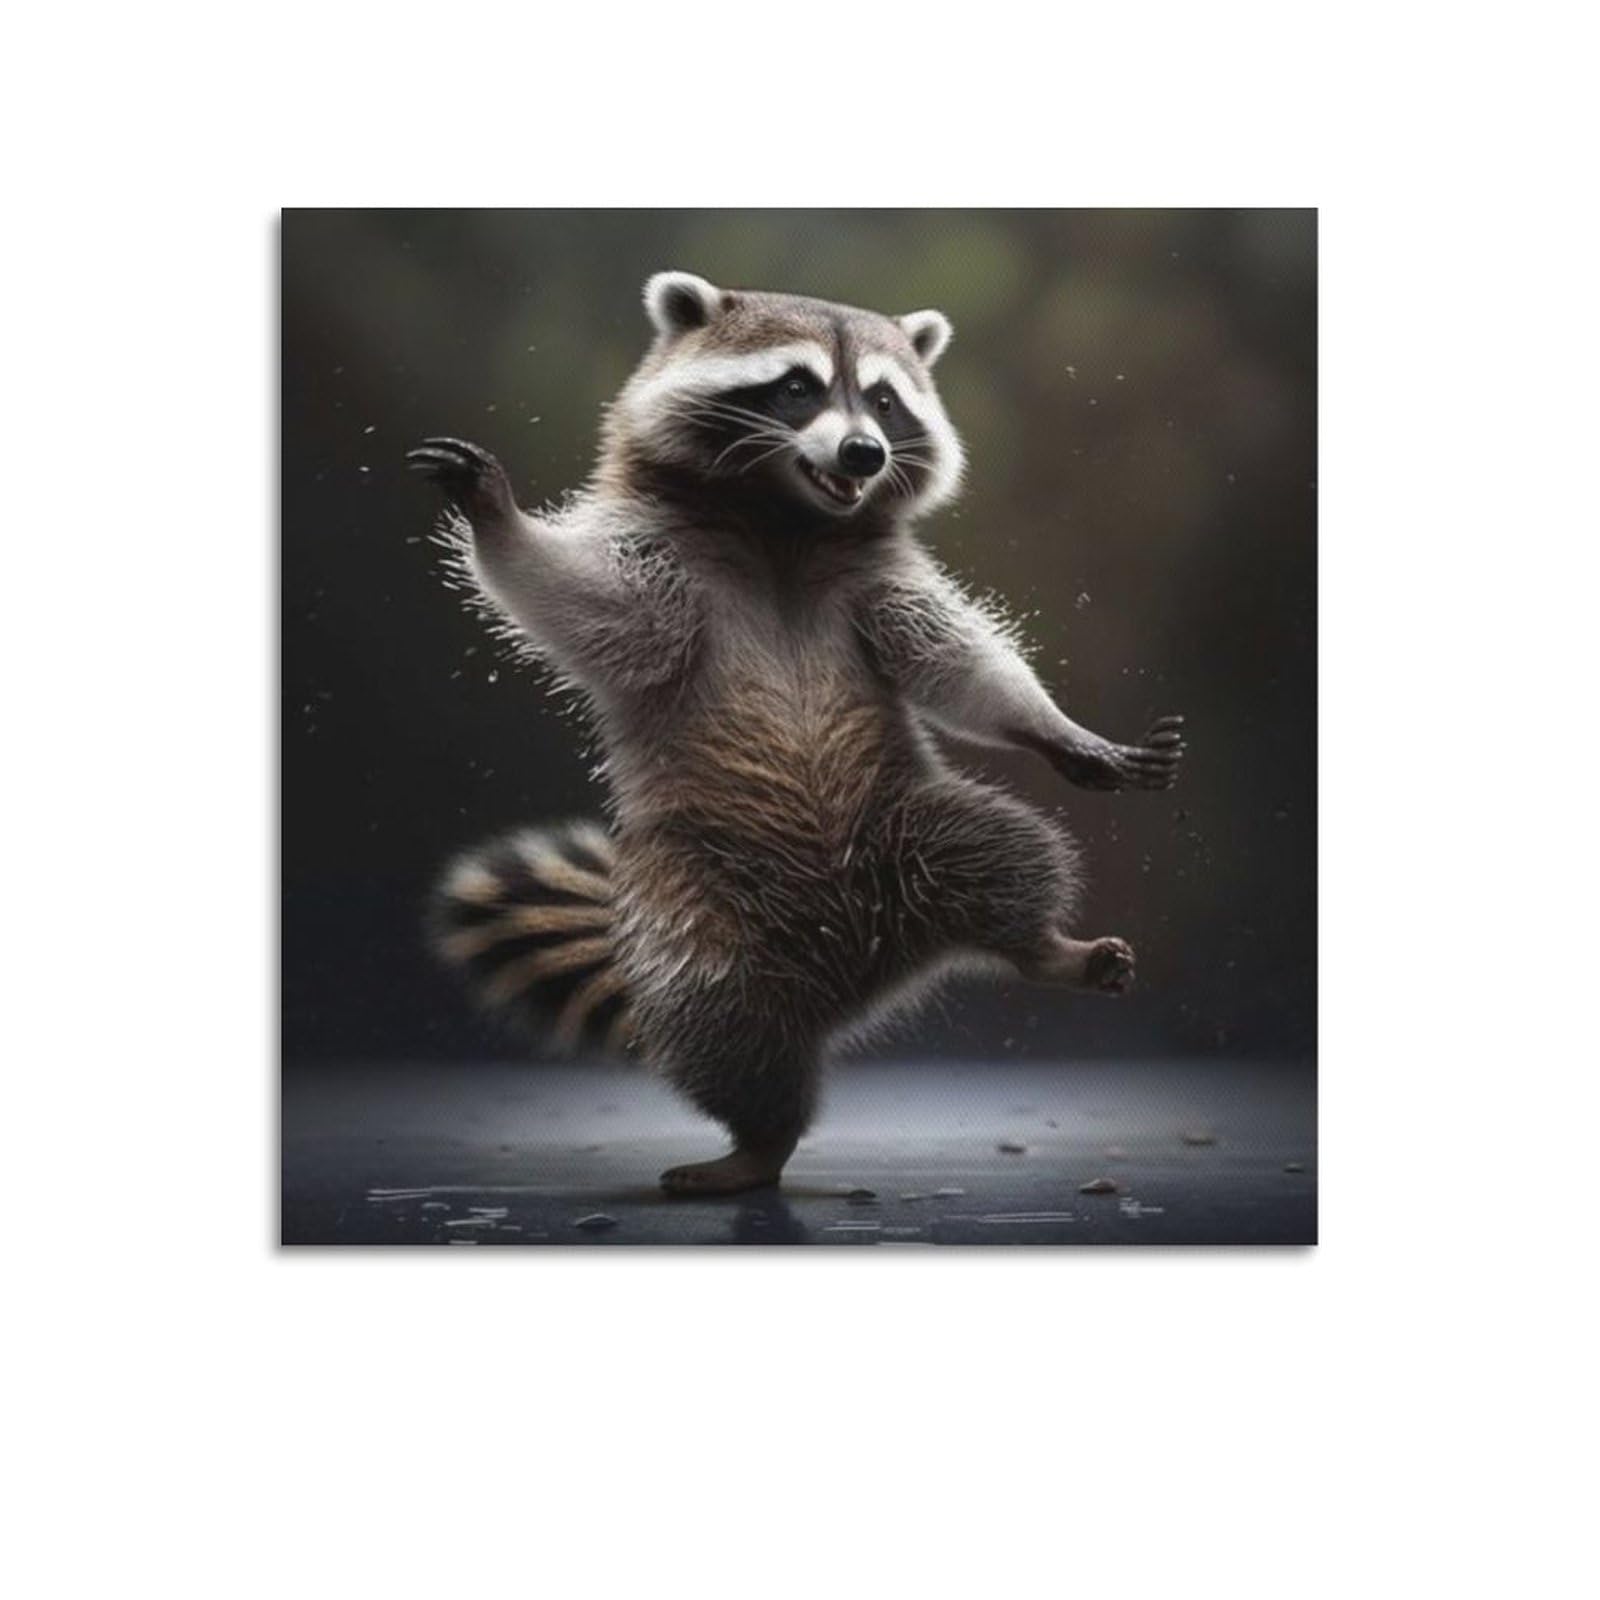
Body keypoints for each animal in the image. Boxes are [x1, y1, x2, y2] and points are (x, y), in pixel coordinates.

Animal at [409, 271, 1186, 1195]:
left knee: (1003, 850)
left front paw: (1055, 727)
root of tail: (854, 972)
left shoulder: (877, 584)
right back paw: (761, 1139)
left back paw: (1042, 947)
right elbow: (588, 598)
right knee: (721, 1015)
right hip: (694, 892)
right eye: (796, 388)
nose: (864, 455)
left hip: (908, 819)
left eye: (884, 401)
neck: (785, 523)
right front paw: (501, 523)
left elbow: (956, 659)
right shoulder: (662, 565)